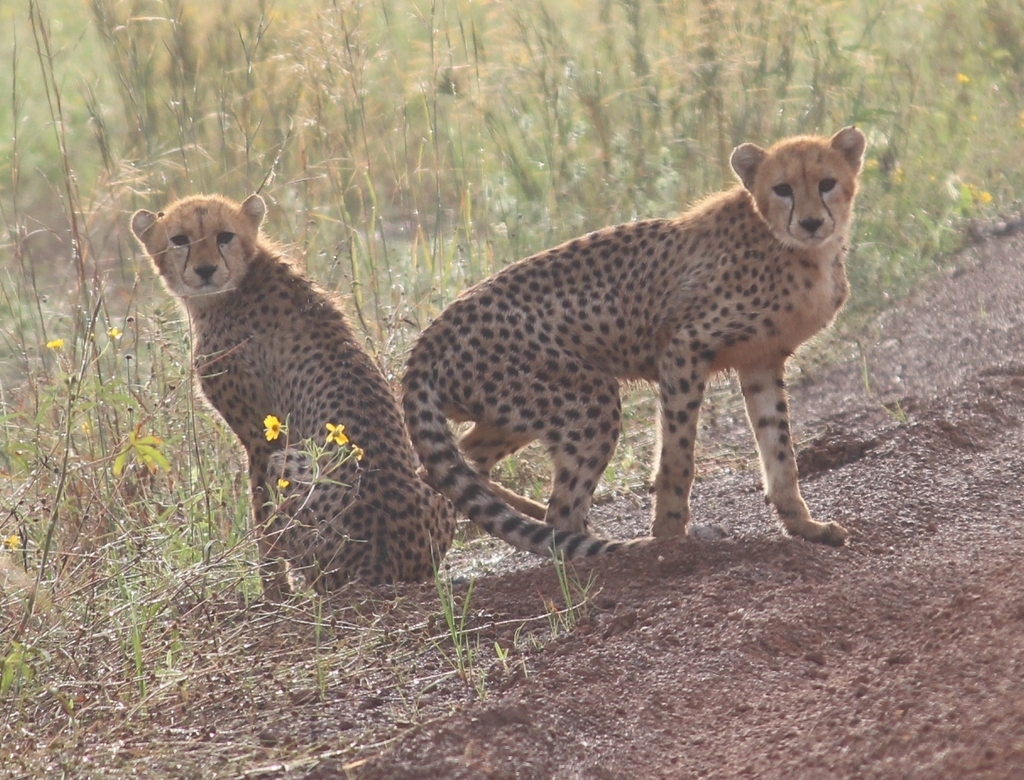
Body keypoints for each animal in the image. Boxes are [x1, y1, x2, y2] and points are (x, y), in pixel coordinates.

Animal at [132, 192, 457, 598]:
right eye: (179, 240)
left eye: (225, 236)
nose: (206, 270)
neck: (242, 280)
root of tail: (390, 567)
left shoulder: (262, 439)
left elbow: (262, 520)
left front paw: (273, 592)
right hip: (436, 485)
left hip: (289, 468)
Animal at [402, 126, 866, 557]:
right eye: (782, 188)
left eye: (827, 183)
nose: (811, 223)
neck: (792, 246)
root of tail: (429, 334)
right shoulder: (683, 348)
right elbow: (678, 455)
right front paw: (670, 535)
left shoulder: (761, 362)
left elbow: (780, 452)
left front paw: (804, 526)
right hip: (587, 399)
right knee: (559, 510)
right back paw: (602, 549)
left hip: (513, 412)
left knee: (445, 470)